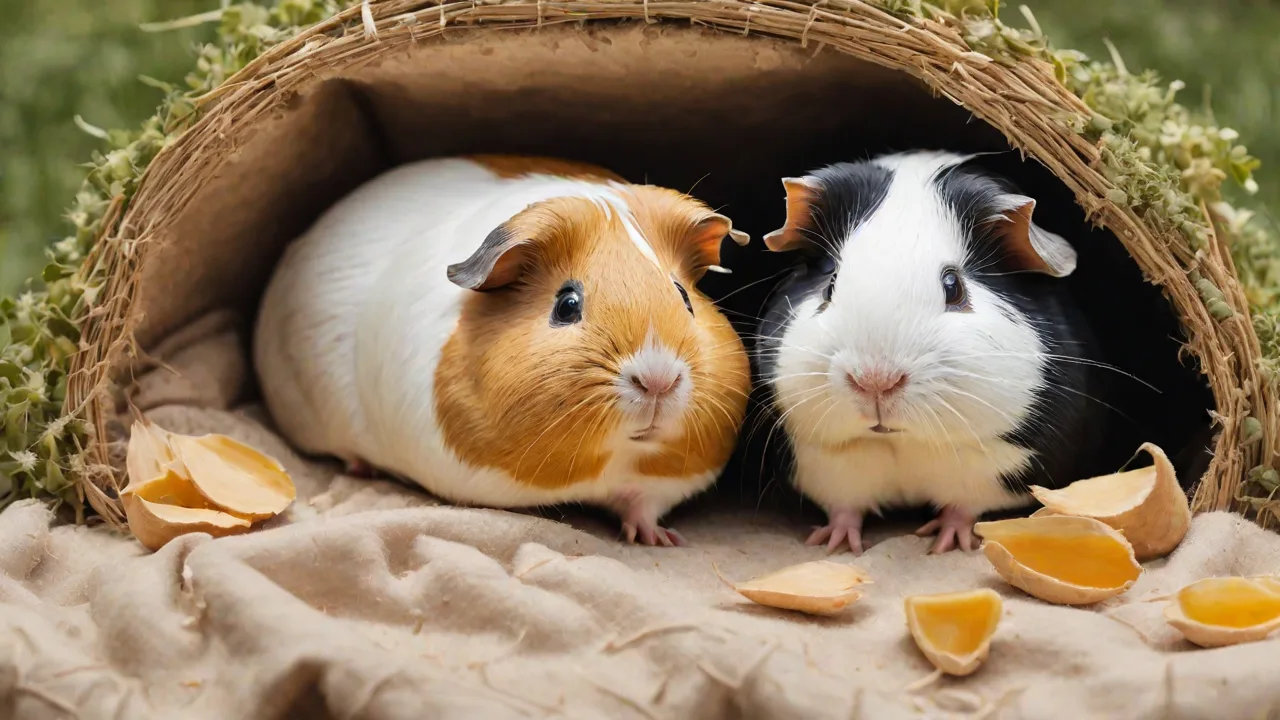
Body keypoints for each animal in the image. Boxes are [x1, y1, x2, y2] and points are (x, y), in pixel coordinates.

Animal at [253, 155, 752, 546]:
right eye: (567, 305)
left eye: (684, 297)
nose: (658, 379)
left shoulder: (660, 482)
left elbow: (642, 506)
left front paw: (660, 539)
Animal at [755, 150, 1110, 554]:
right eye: (830, 284)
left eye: (953, 287)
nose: (875, 381)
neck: (901, 442)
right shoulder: (824, 468)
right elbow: (846, 508)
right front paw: (835, 545)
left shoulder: (992, 474)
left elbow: (964, 509)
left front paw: (946, 544)